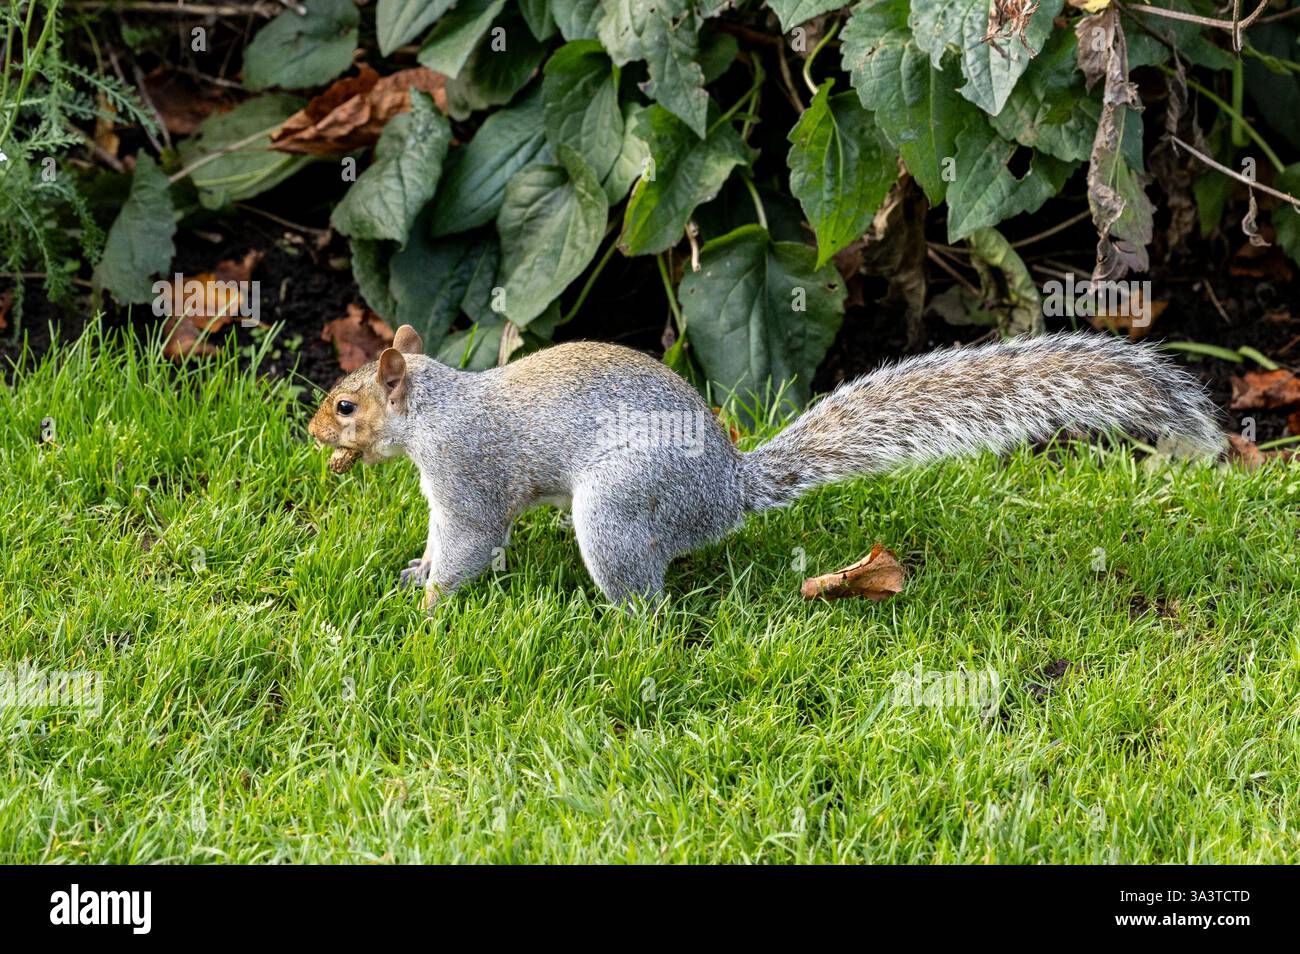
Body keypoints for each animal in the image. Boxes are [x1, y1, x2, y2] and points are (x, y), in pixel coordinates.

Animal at [308, 325, 1224, 609]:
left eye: (348, 405)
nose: (314, 433)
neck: (436, 408)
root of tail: (730, 490)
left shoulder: (467, 478)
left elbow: (470, 541)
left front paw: (431, 604)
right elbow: (443, 541)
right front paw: (413, 573)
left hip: (618, 508)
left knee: (644, 598)